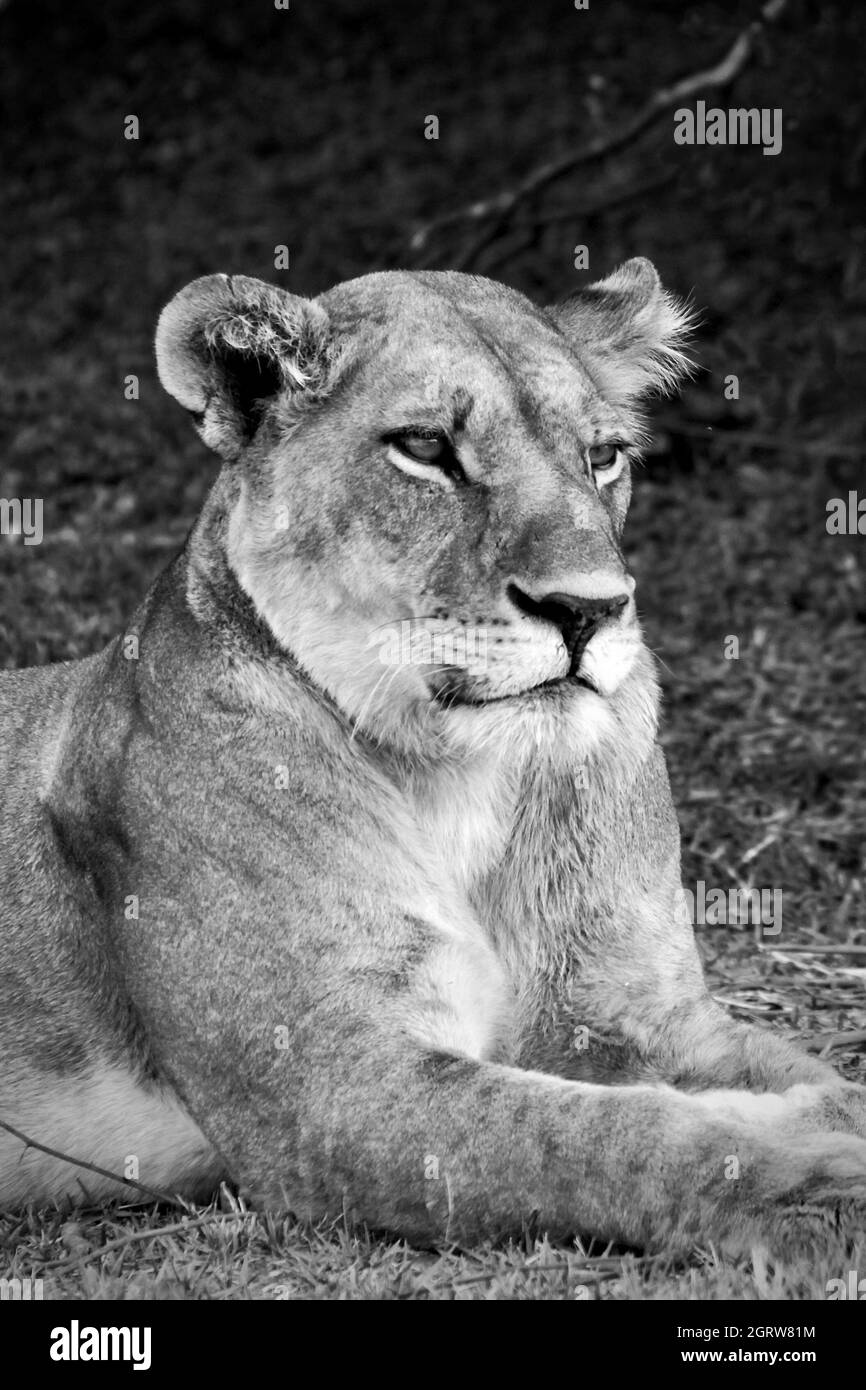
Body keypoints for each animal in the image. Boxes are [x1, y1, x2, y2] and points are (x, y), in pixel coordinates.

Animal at [2, 259, 866, 1255]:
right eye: (424, 448)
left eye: (603, 455)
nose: (588, 608)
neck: (461, 775)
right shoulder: (329, 1085)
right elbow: (602, 1135)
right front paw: (827, 1180)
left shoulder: (631, 1009)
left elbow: (795, 1076)